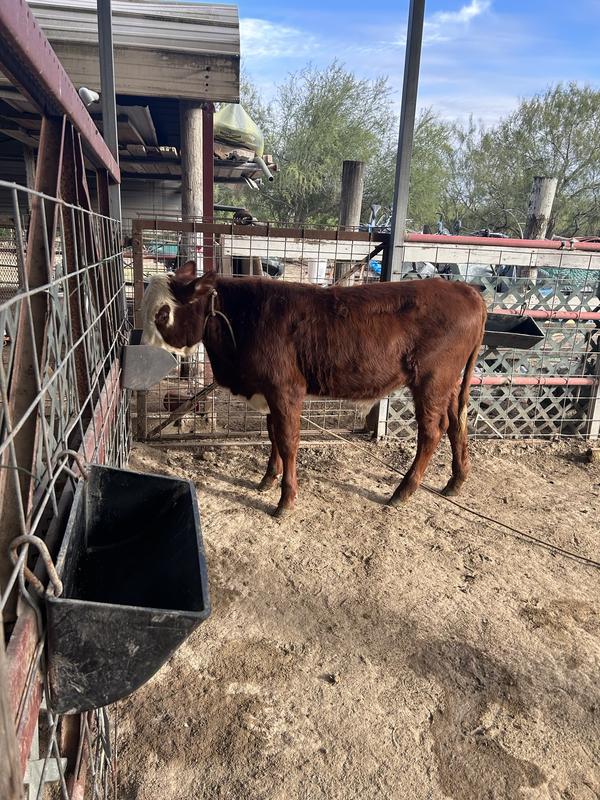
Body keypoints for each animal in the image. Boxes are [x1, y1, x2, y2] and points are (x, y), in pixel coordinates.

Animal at [141, 261, 486, 517]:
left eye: (163, 312)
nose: (140, 349)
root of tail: (464, 290)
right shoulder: (270, 392)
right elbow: (272, 435)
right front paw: (268, 479)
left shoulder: (286, 389)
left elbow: (287, 440)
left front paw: (285, 501)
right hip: (449, 383)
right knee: (457, 423)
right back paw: (456, 481)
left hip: (431, 380)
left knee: (432, 431)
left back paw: (403, 491)